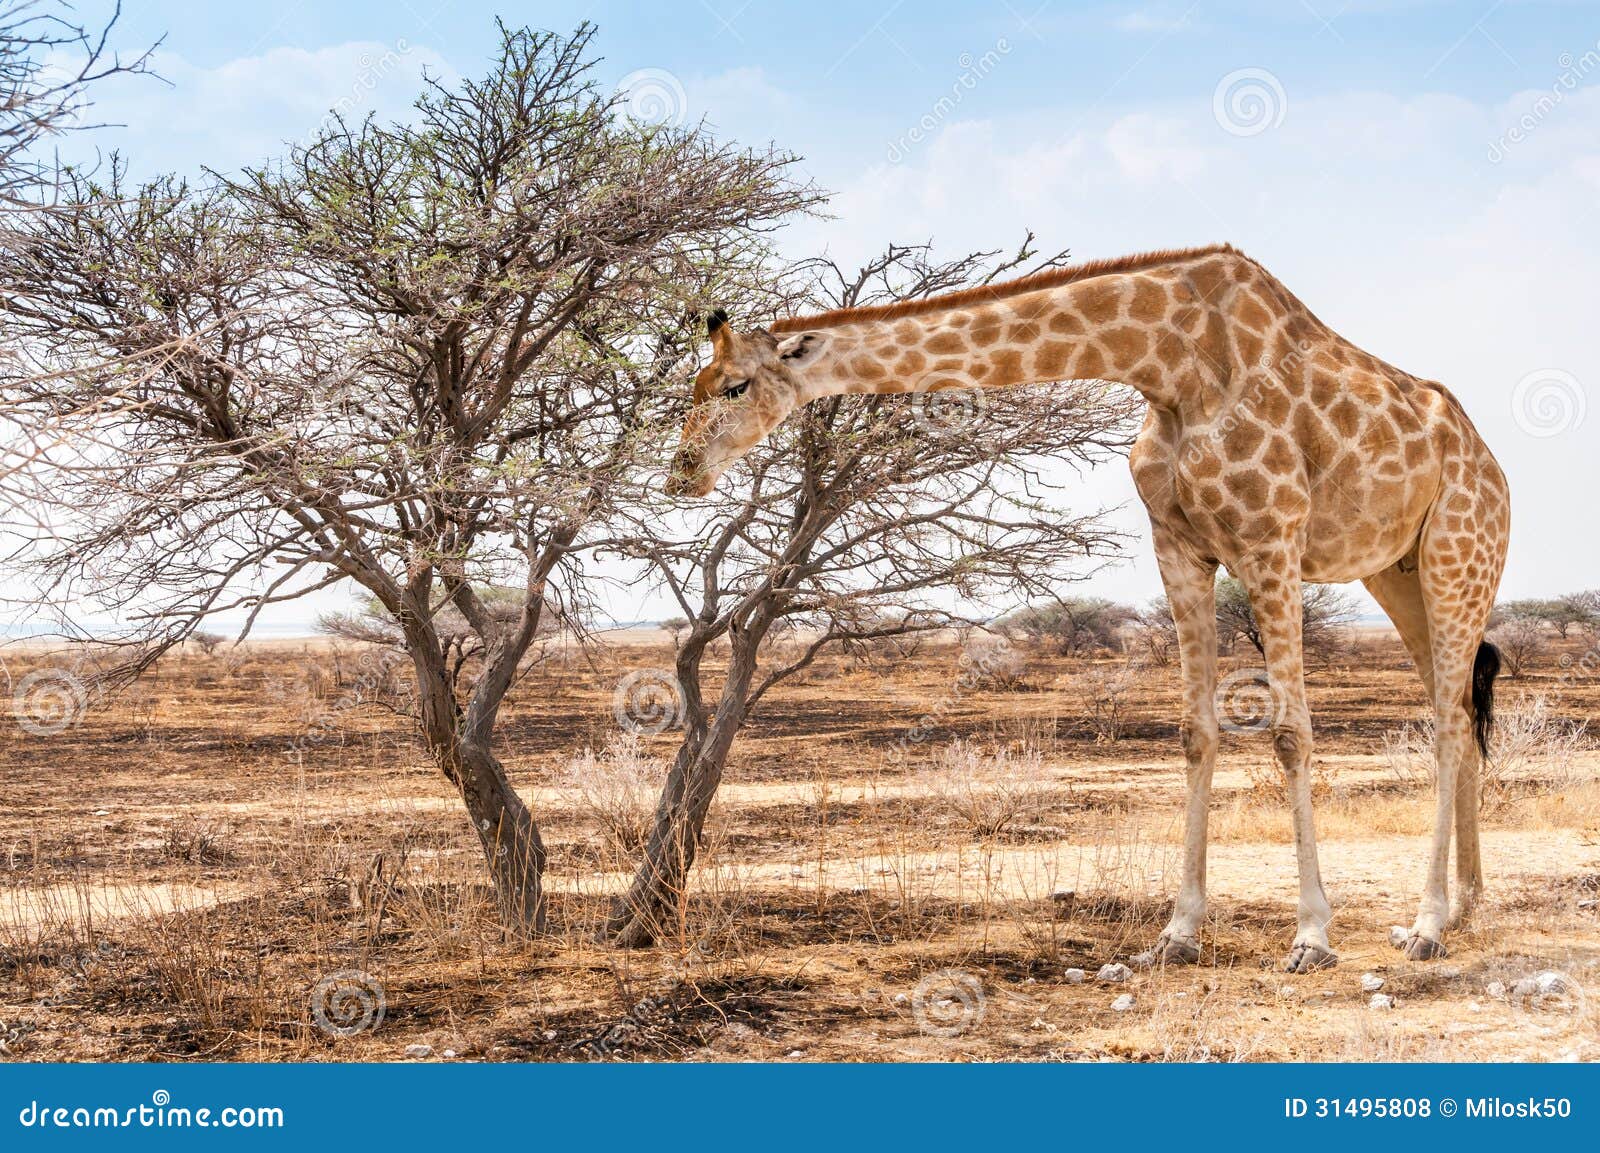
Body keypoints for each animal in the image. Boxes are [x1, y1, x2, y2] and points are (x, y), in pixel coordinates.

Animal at [666, 244, 1509, 971]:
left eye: (735, 385)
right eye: (695, 388)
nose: (682, 469)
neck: (1167, 359)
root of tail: (1493, 467)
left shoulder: (1273, 537)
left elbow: (1290, 734)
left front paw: (1311, 936)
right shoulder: (1178, 544)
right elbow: (1195, 732)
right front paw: (1177, 933)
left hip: (1459, 557)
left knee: (1444, 720)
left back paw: (1429, 923)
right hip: (1397, 575)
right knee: (1459, 712)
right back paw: (1467, 903)